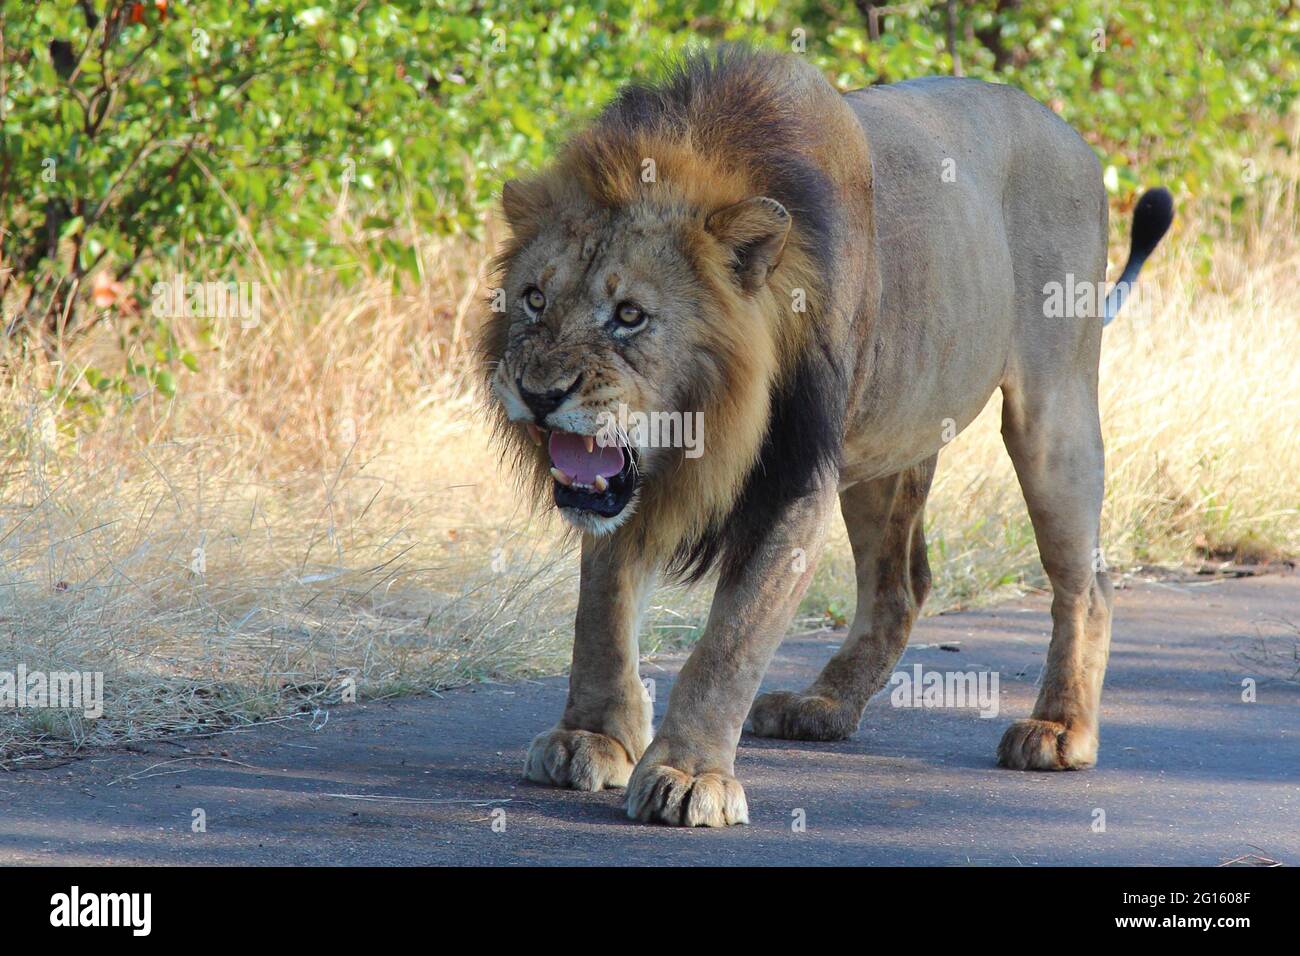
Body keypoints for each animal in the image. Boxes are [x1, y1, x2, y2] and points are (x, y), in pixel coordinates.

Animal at [480, 46, 1173, 826]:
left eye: (630, 315)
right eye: (535, 299)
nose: (540, 395)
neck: (707, 427)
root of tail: (1074, 138)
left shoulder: (795, 480)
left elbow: (731, 641)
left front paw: (689, 774)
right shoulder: (616, 486)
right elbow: (601, 611)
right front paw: (591, 737)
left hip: (1053, 409)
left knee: (1088, 582)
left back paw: (1059, 730)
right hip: (890, 443)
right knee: (901, 585)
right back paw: (823, 706)